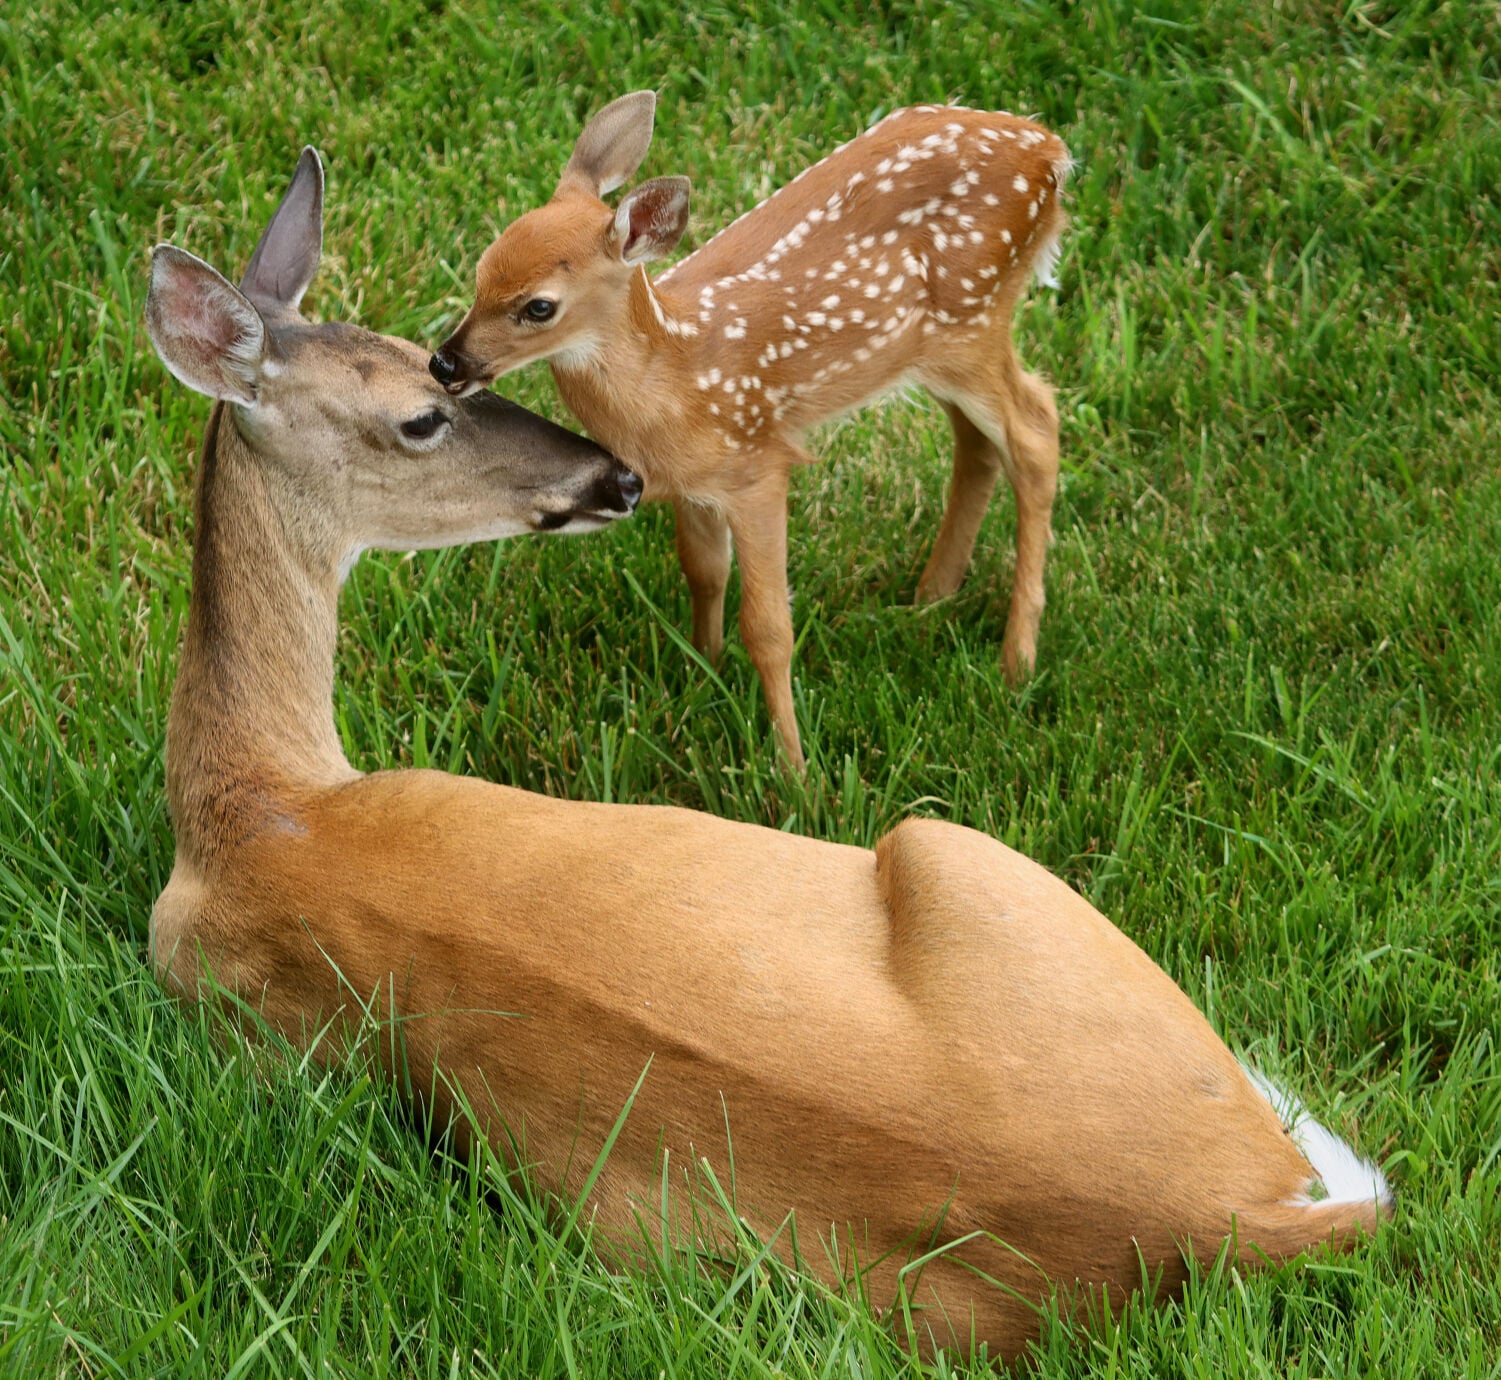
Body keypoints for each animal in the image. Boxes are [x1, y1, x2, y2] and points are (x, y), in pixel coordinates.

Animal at [430, 92, 1072, 771]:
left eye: (538, 306)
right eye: (481, 271)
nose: (445, 364)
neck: (679, 377)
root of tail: (1050, 150)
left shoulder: (757, 468)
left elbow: (768, 628)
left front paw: (794, 768)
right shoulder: (696, 485)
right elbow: (704, 572)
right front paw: (699, 676)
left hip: (974, 322)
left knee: (1036, 429)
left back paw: (1016, 661)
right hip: (934, 351)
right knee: (978, 443)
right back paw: (931, 596)